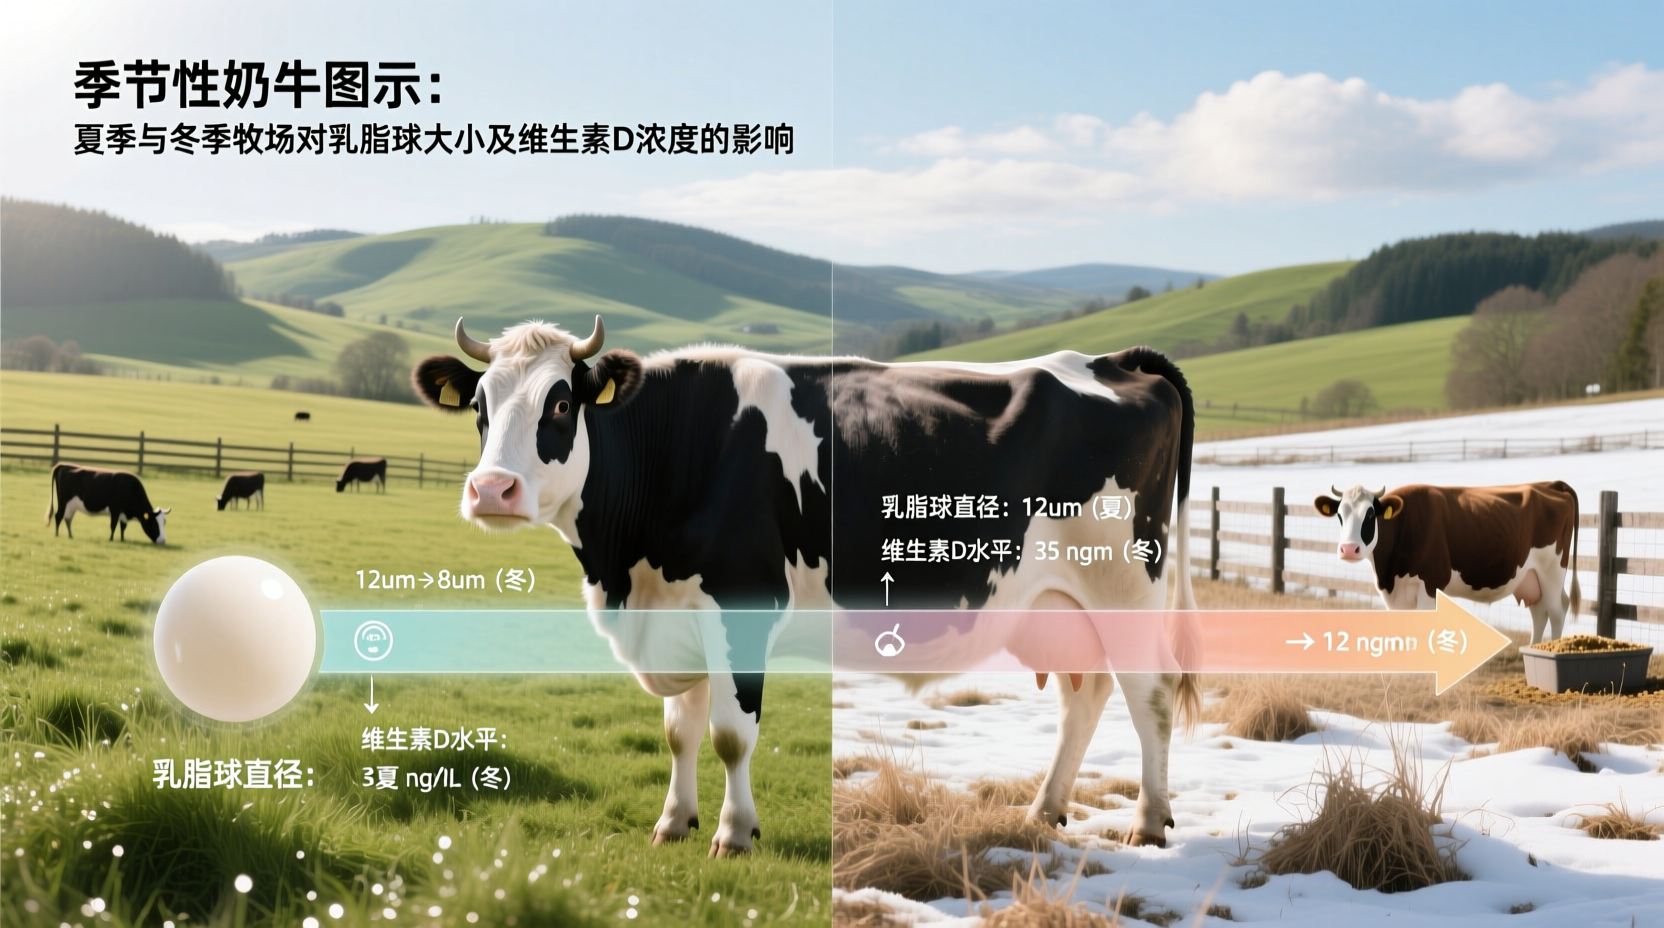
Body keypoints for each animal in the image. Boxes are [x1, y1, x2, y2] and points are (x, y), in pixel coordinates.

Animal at [412, 316, 1199, 854]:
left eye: (561, 405)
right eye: (479, 407)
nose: (492, 490)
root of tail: (1108, 360)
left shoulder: (741, 605)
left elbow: (730, 735)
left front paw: (734, 833)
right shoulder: (682, 613)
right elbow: (679, 731)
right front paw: (673, 823)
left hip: (1125, 584)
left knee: (1150, 695)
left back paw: (1148, 823)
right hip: (1058, 605)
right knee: (1084, 695)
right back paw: (1043, 810)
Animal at [1313, 482, 1581, 644]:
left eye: (1370, 515)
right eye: (1340, 515)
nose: (1349, 549)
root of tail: (1549, 484)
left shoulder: (1431, 584)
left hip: (1552, 570)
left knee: (1556, 610)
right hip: (1531, 576)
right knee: (1539, 611)